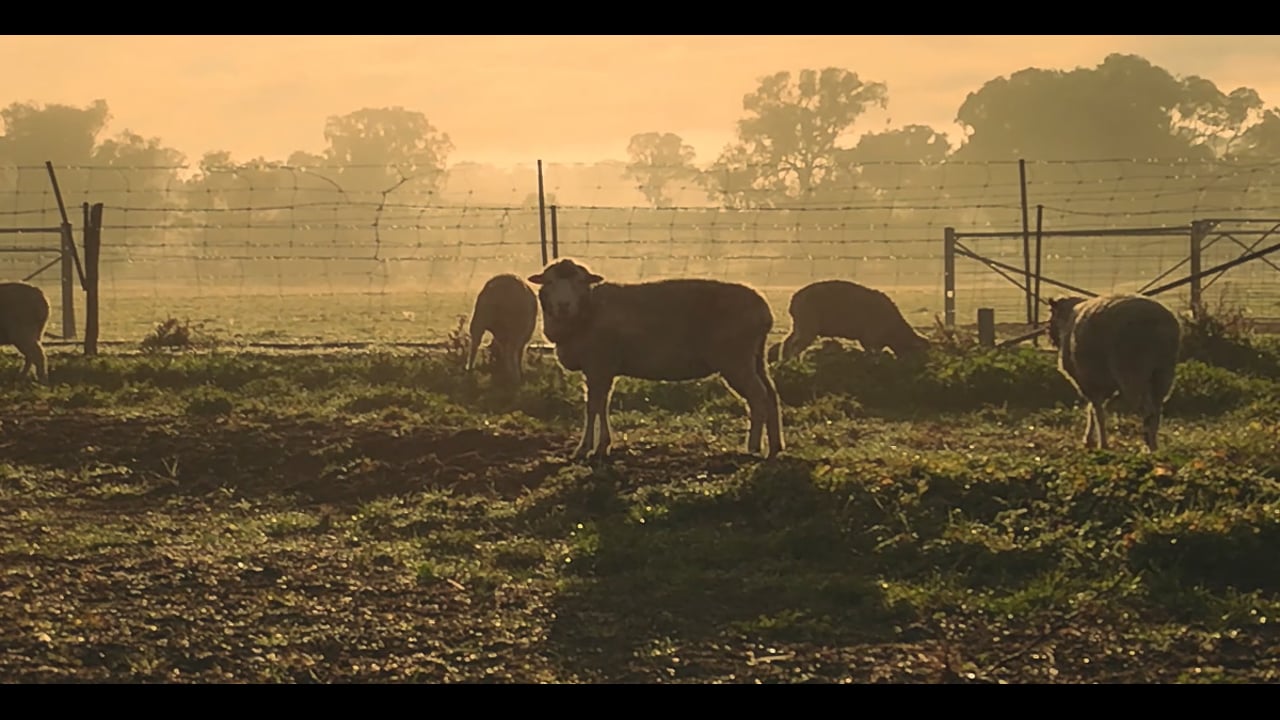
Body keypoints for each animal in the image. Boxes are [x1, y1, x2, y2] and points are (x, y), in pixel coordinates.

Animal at [527, 257, 783, 461]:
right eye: (549, 282)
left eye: (580, 282)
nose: (563, 305)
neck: (586, 311)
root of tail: (765, 310)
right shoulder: (604, 368)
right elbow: (602, 405)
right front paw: (602, 447)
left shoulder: (598, 364)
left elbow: (592, 407)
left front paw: (585, 449)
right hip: (755, 356)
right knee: (771, 394)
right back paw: (776, 448)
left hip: (735, 358)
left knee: (758, 396)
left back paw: (753, 447)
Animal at [768, 279, 931, 364]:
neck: (895, 330)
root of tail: (795, 298)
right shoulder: (871, 339)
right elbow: (873, 355)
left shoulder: (868, 340)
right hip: (808, 324)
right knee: (795, 345)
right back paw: (794, 363)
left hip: (799, 324)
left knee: (787, 342)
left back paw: (786, 362)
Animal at [1047, 293, 1181, 453]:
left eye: (1051, 313)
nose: (1050, 336)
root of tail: (1160, 323)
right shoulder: (1103, 385)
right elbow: (1093, 409)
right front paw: (1090, 440)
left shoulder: (1087, 381)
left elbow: (1097, 412)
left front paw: (1100, 444)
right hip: (1163, 374)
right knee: (1157, 410)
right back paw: (1153, 445)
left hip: (1132, 372)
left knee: (1148, 411)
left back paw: (1149, 445)